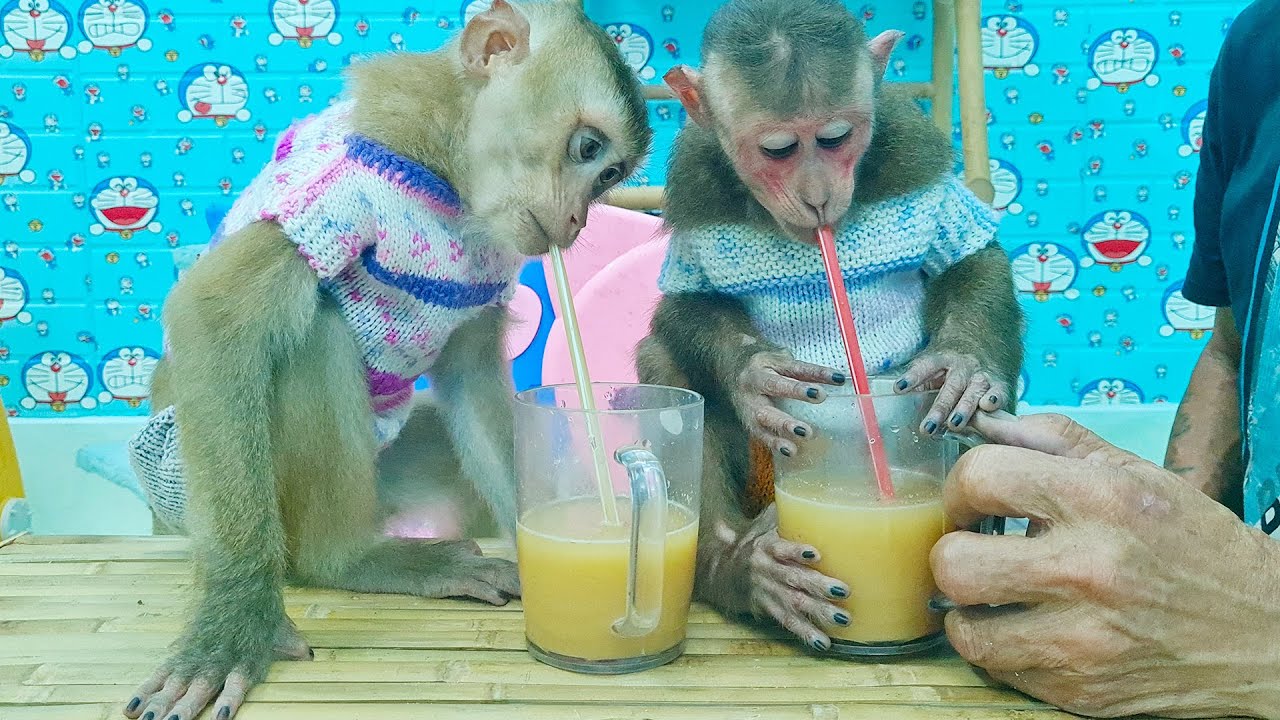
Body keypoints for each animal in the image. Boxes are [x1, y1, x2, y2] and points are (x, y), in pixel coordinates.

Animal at [121, 3, 651, 719]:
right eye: (589, 149)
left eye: (609, 178)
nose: (575, 222)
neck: (446, 180)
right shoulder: (339, 191)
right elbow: (217, 316)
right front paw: (233, 619)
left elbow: (470, 377)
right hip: (185, 478)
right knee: (314, 328)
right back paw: (345, 560)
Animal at [635, 0, 1023, 653]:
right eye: (777, 151)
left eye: (836, 138)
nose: (817, 197)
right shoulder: (695, 183)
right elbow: (686, 306)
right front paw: (755, 372)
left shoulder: (909, 151)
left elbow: (969, 257)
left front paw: (961, 368)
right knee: (667, 362)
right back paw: (736, 563)